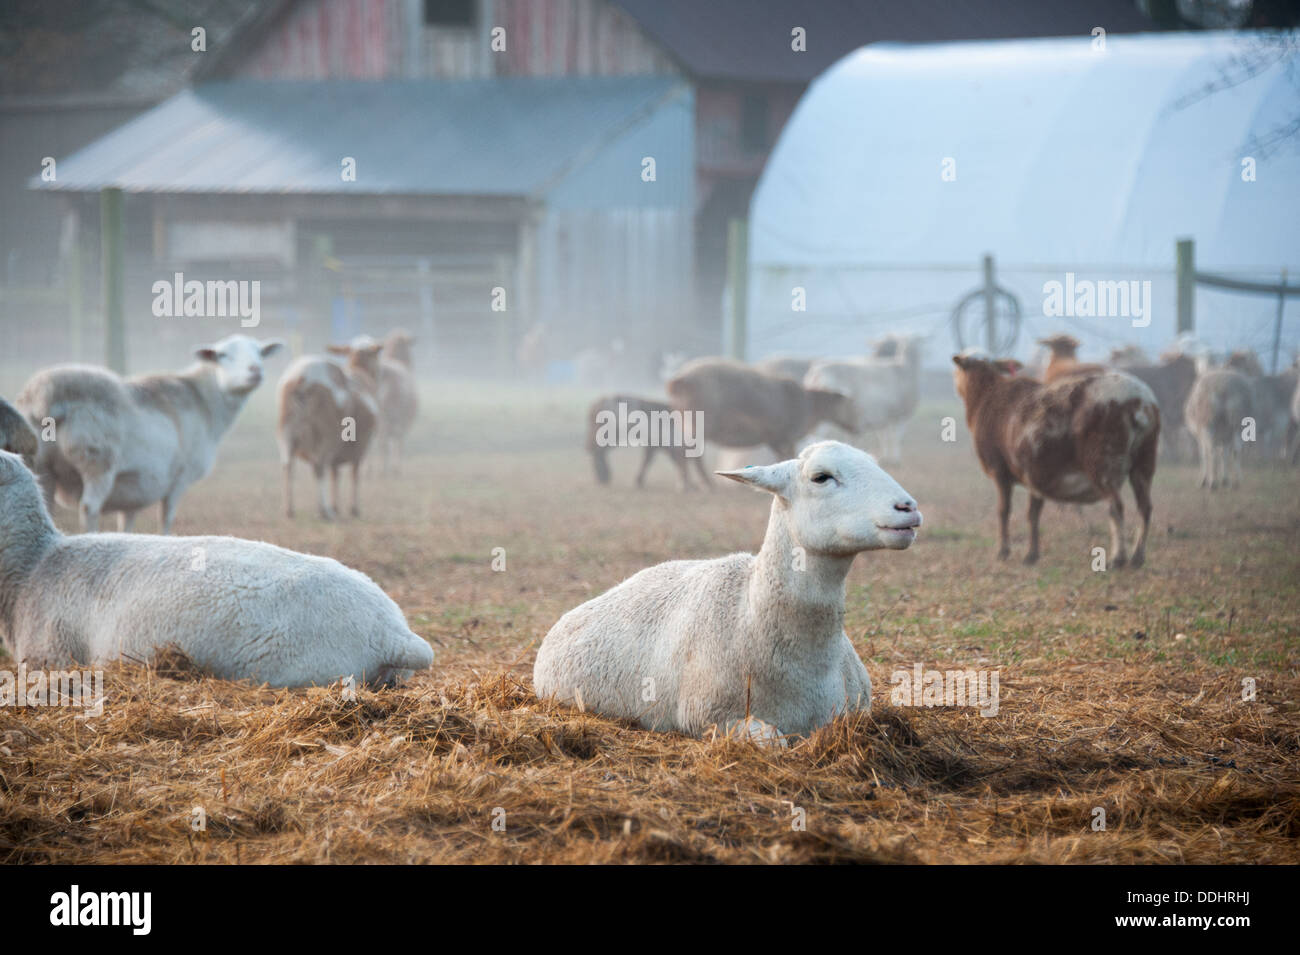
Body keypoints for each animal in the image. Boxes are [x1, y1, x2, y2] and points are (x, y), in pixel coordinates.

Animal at [15, 335, 283, 534]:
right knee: (89, 508)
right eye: (223, 355)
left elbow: (127, 523)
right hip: (97, 460)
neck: (205, 401)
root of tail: (45, 395)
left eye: (260, 352)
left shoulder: (134, 488)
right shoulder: (180, 478)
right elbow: (166, 519)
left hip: (41, 465)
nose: (255, 370)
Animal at [277, 341, 381, 520]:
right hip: (327, 432)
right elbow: (354, 474)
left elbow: (335, 475)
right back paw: (324, 511)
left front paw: (336, 506)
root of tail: (302, 376)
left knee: (288, 466)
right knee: (319, 468)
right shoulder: (361, 445)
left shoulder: (337, 455)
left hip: (286, 428)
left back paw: (289, 510)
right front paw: (353, 509)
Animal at [666, 357, 856, 460]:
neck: (811, 407)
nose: (855, 427)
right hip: (699, 421)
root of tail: (680, 379)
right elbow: (788, 457)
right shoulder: (788, 436)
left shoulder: (775, 439)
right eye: (845, 404)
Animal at [803, 335, 923, 464]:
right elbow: (895, 437)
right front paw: (894, 459)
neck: (904, 369)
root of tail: (817, 373)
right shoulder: (899, 414)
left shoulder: (883, 415)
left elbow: (884, 436)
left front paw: (886, 458)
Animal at [952, 354, 1160, 567]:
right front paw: (1031, 555)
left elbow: (1004, 511)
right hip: (1145, 459)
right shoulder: (1035, 472)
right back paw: (1137, 557)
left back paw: (1117, 558)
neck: (986, 395)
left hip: (1104, 461)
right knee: (1145, 508)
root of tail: (1140, 404)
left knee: (1116, 507)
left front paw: (1003, 552)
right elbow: (1033, 513)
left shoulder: (999, 469)